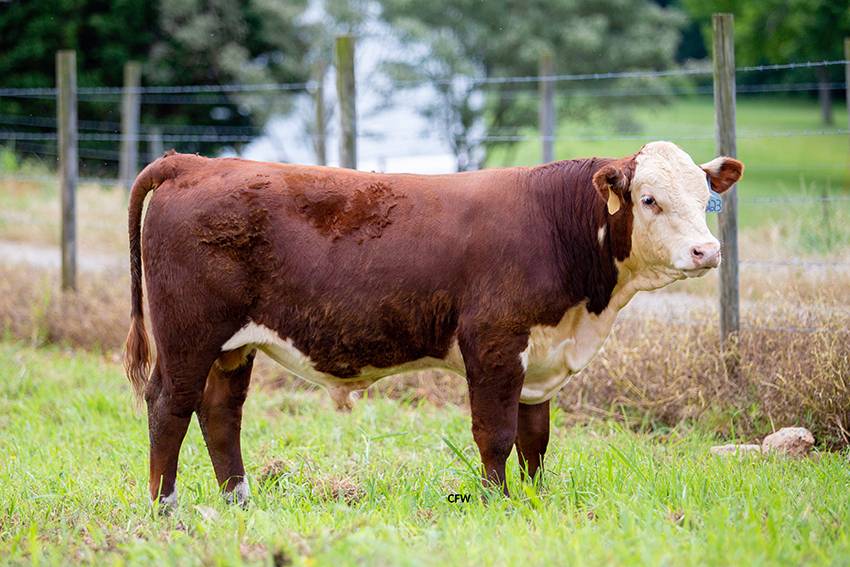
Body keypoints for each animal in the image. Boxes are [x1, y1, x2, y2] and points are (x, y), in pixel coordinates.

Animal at [123, 141, 742, 509]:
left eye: (705, 198)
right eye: (649, 199)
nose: (707, 251)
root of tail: (196, 161)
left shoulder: (541, 355)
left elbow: (536, 440)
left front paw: (533, 499)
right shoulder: (494, 342)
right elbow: (495, 434)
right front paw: (495, 503)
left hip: (235, 345)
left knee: (220, 412)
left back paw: (239, 501)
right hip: (188, 334)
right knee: (169, 405)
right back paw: (165, 507)